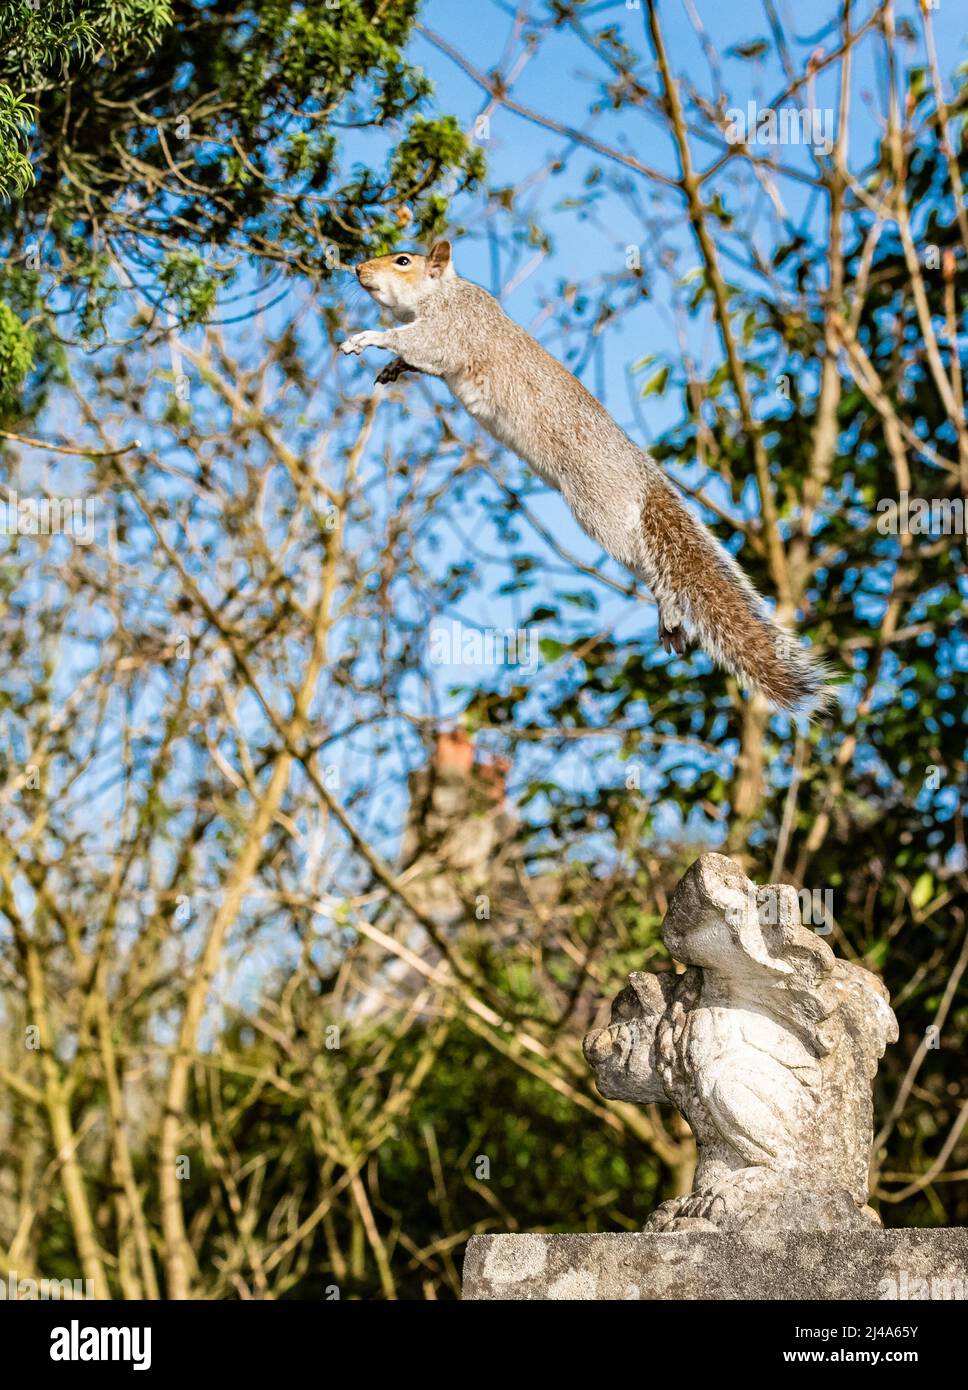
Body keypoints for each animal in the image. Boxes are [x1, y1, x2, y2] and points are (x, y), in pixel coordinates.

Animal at [340, 240, 827, 713]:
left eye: (403, 261)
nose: (358, 271)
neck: (444, 293)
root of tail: (642, 474)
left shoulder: (454, 328)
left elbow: (418, 343)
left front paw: (368, 337)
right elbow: (417, 359)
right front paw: (393, 367)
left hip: (599, 507)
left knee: (648, 562)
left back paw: (669, 610)